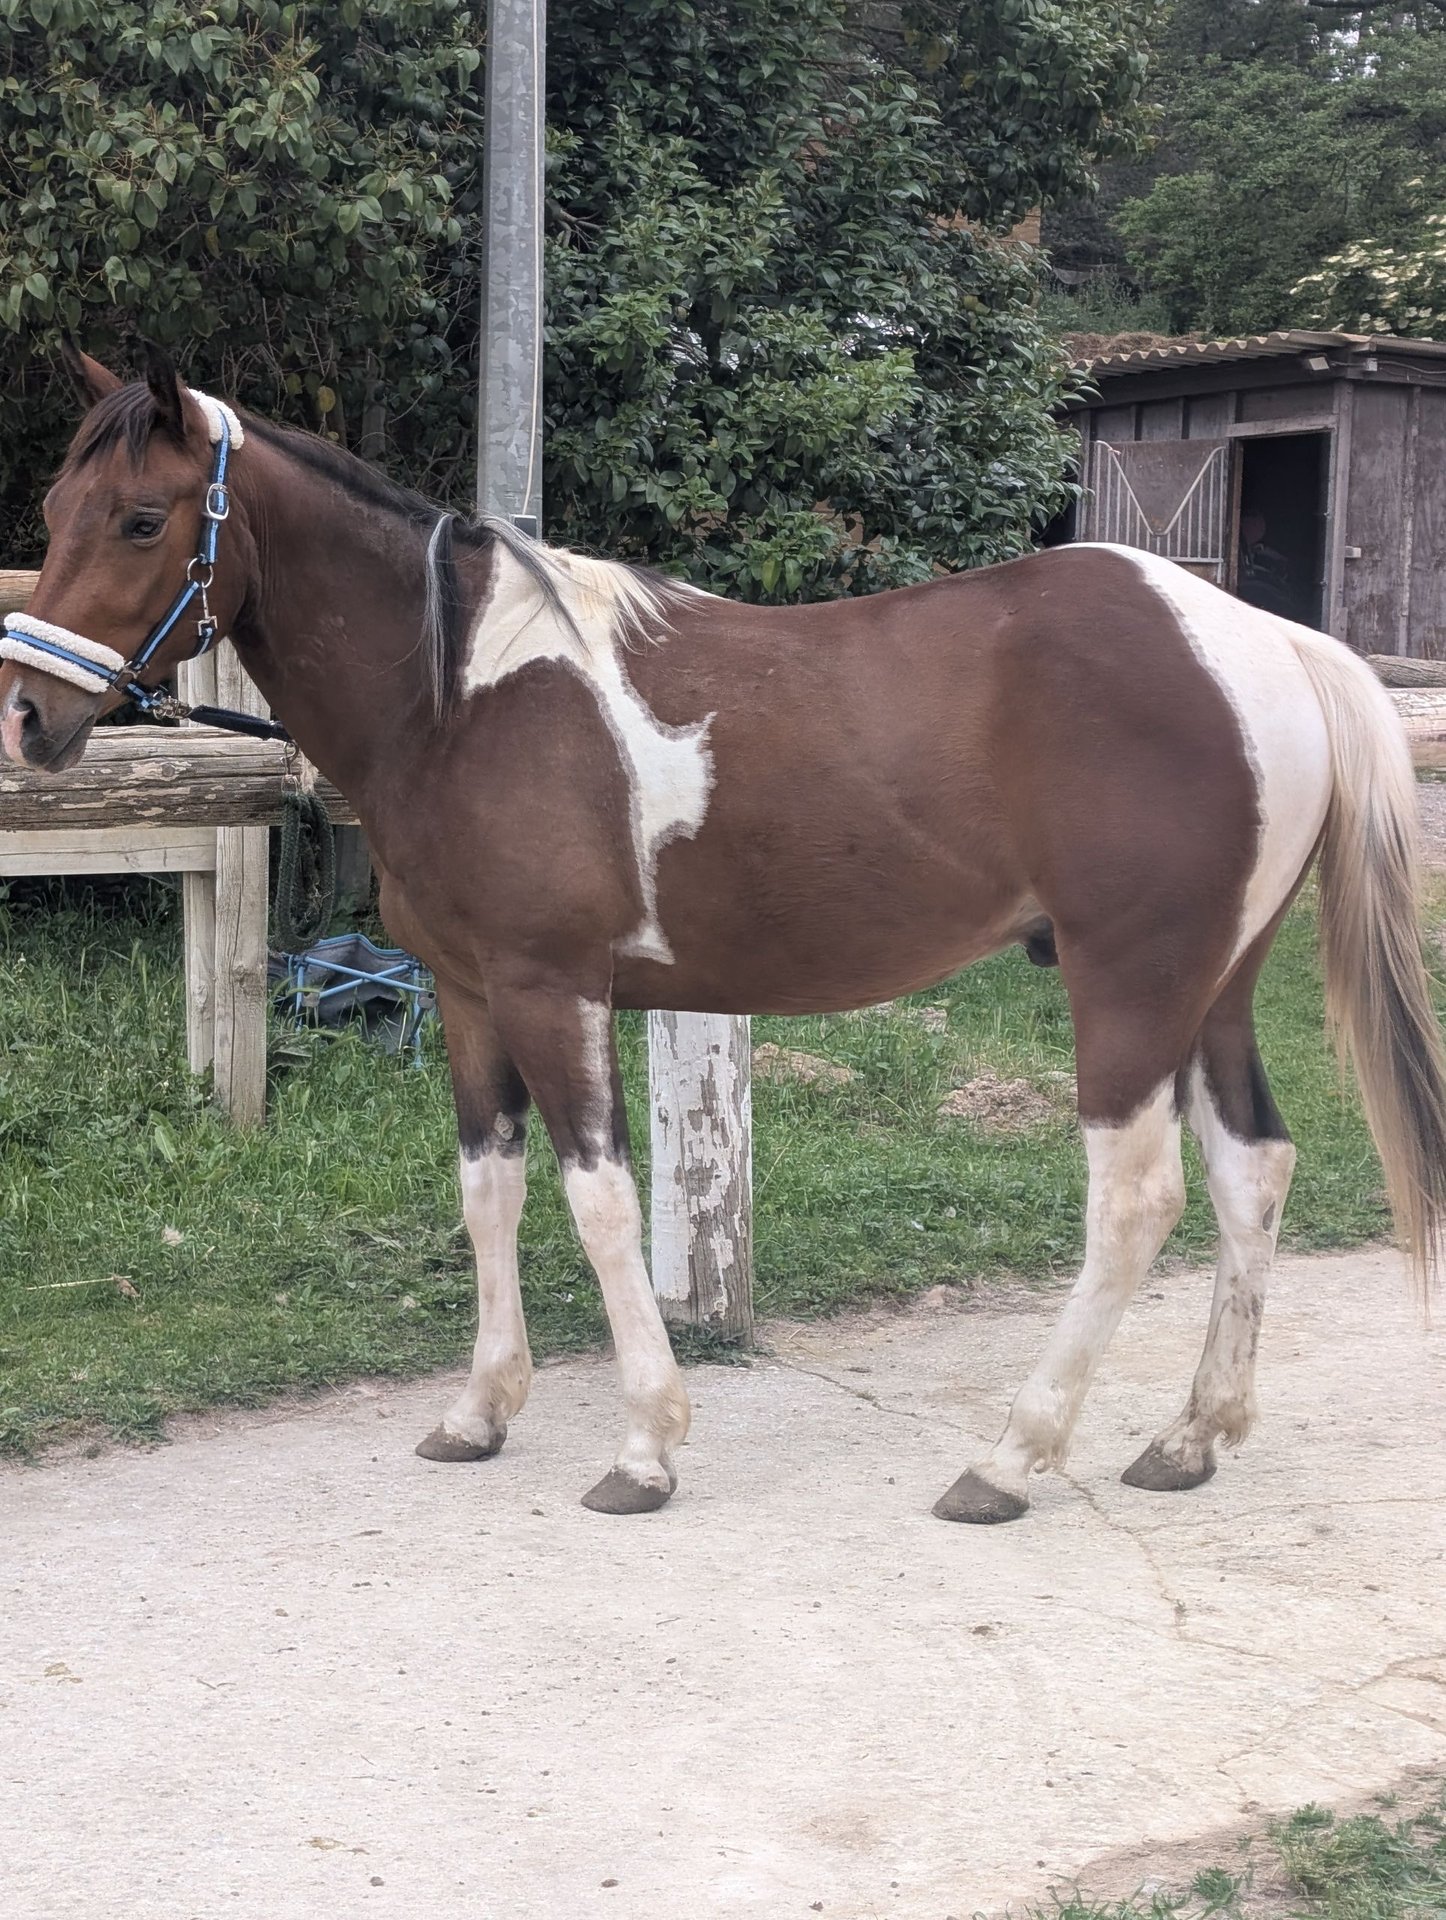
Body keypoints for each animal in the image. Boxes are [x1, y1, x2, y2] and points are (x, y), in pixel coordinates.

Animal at [5, 340, 1444, 1524]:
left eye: (142, 518)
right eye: (54, 514)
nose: (27, 717)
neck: (461, 700)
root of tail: (1267, 644)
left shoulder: (552, 992)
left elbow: (595, 1199)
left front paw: (645, 1444)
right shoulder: (468, 998)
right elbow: (487, 1191)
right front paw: (478, 1412)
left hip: (1130, 983)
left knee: (1137, 1198)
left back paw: (1008, 1461)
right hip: (1214, 984)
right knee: (1251, 1170)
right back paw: (1191, 1437)